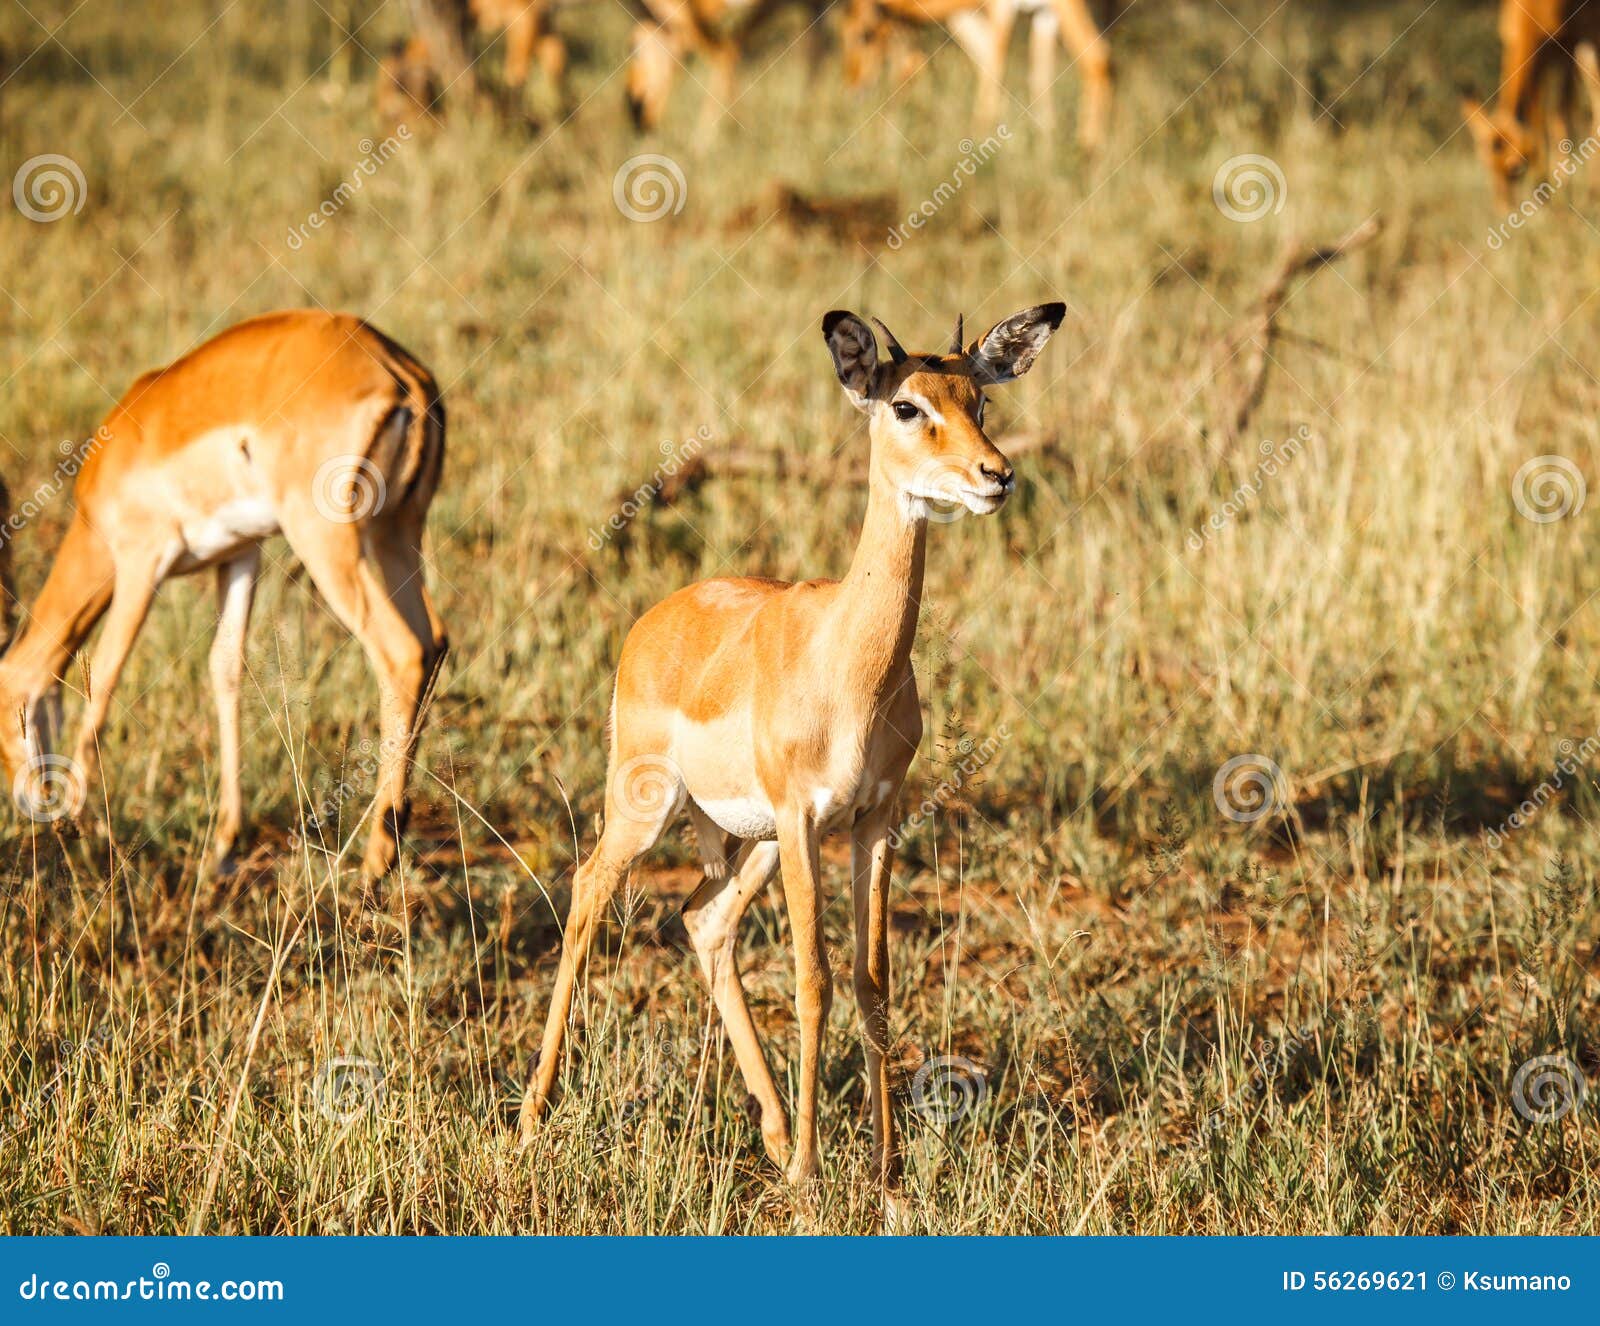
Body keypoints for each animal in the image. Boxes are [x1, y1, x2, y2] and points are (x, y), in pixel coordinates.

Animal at [0, 311, 448, 884]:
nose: (30, 800)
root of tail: (399, 370)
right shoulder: (241, 555)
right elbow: (225, 668)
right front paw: (223, 844)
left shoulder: (141, 564)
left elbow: (104, 674)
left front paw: (81, 827)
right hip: (397, 534)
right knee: (435, 640)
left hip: (329, 542)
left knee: (402, 651)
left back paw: (376, 861)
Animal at [518, 302, 1064, 1198]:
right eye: (907, 404)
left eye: (979, 399)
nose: (997, 475)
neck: (849, 663)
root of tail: (655, 619)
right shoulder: (806, 819)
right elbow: (814, 980)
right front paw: (814, 1169)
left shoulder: (874, 822)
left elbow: (872, 983)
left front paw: (885, 1169)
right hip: (652, 808)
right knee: (589, 889)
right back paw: (536, 1117)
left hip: (755, 841)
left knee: (703, 921)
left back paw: (772, 1132)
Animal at [841, 0, 1112, 150]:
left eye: (864, 34)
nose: (854, 89)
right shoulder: (962, 16)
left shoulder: (1000, 9)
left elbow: (992, 76)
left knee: (1098, 57)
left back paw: (1089, 153)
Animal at [1463, 0, 1600, 207]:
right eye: (1487, 164)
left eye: (1514, 168)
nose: (1503, 207)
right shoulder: (1532, 54)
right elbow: (1539, 120)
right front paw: (1545, 194)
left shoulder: (1568, 48)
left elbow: (1559, 115)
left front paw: (1563, 196)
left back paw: (1593, 193)